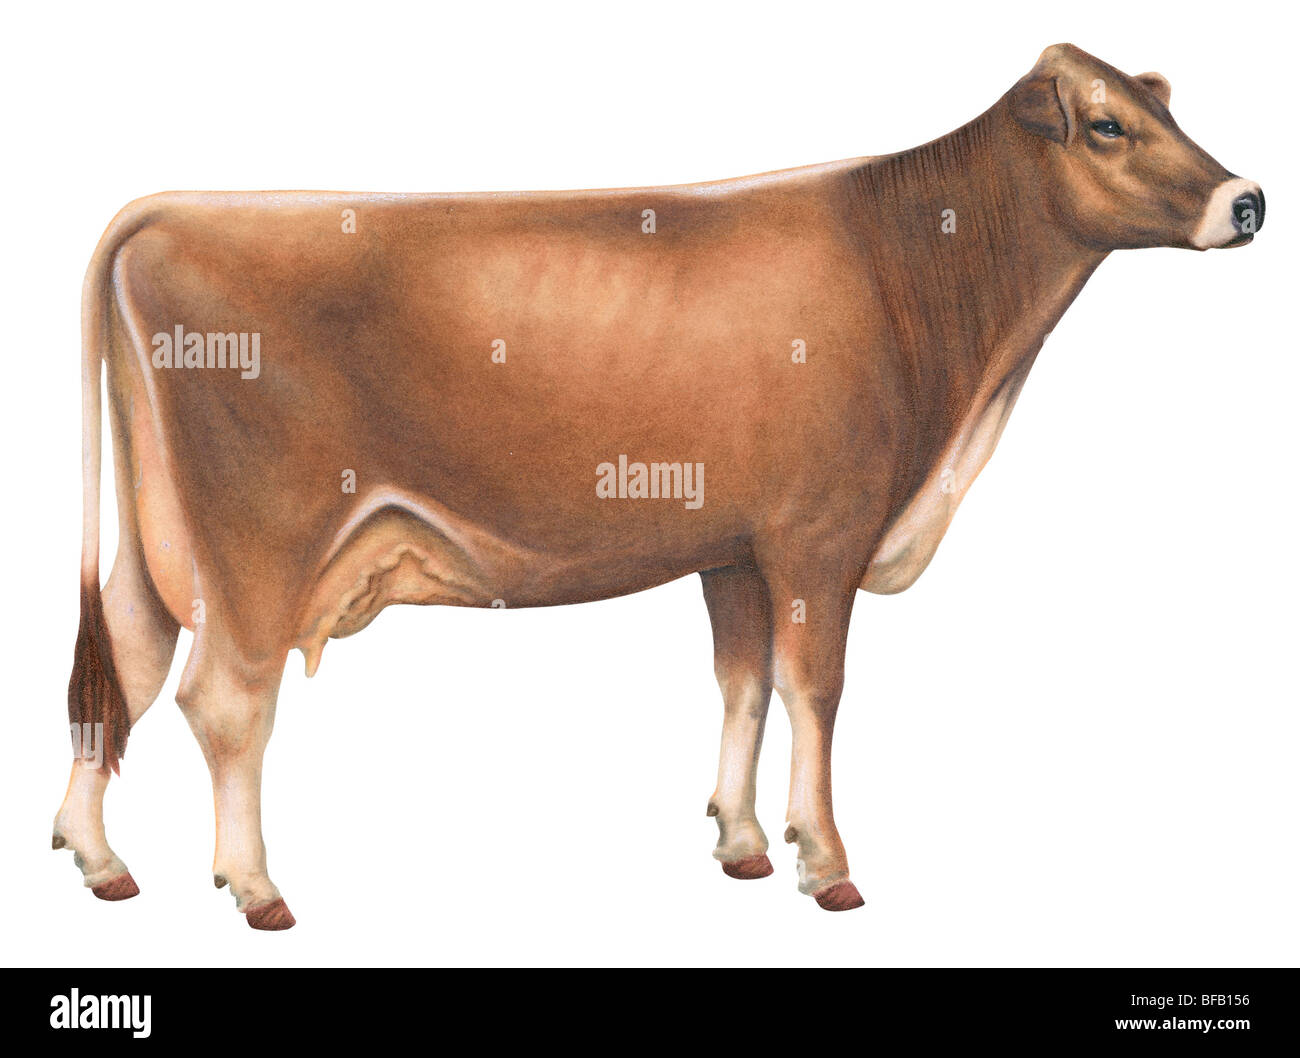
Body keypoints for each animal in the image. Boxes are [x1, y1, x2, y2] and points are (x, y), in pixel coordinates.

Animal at [56, 44, 1263, 929]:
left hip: (161, 538)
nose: (1248, 199)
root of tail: (171, 209)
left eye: (1164, 112)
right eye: (1108, 125)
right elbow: (815, 689)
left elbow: (744, 683)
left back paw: (100, 860)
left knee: (124, 666)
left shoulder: (734, 544)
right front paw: (826, 863)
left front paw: (741, 840)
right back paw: (257, 888)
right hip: (257, 536)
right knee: (223, 697)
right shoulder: (820, 534)